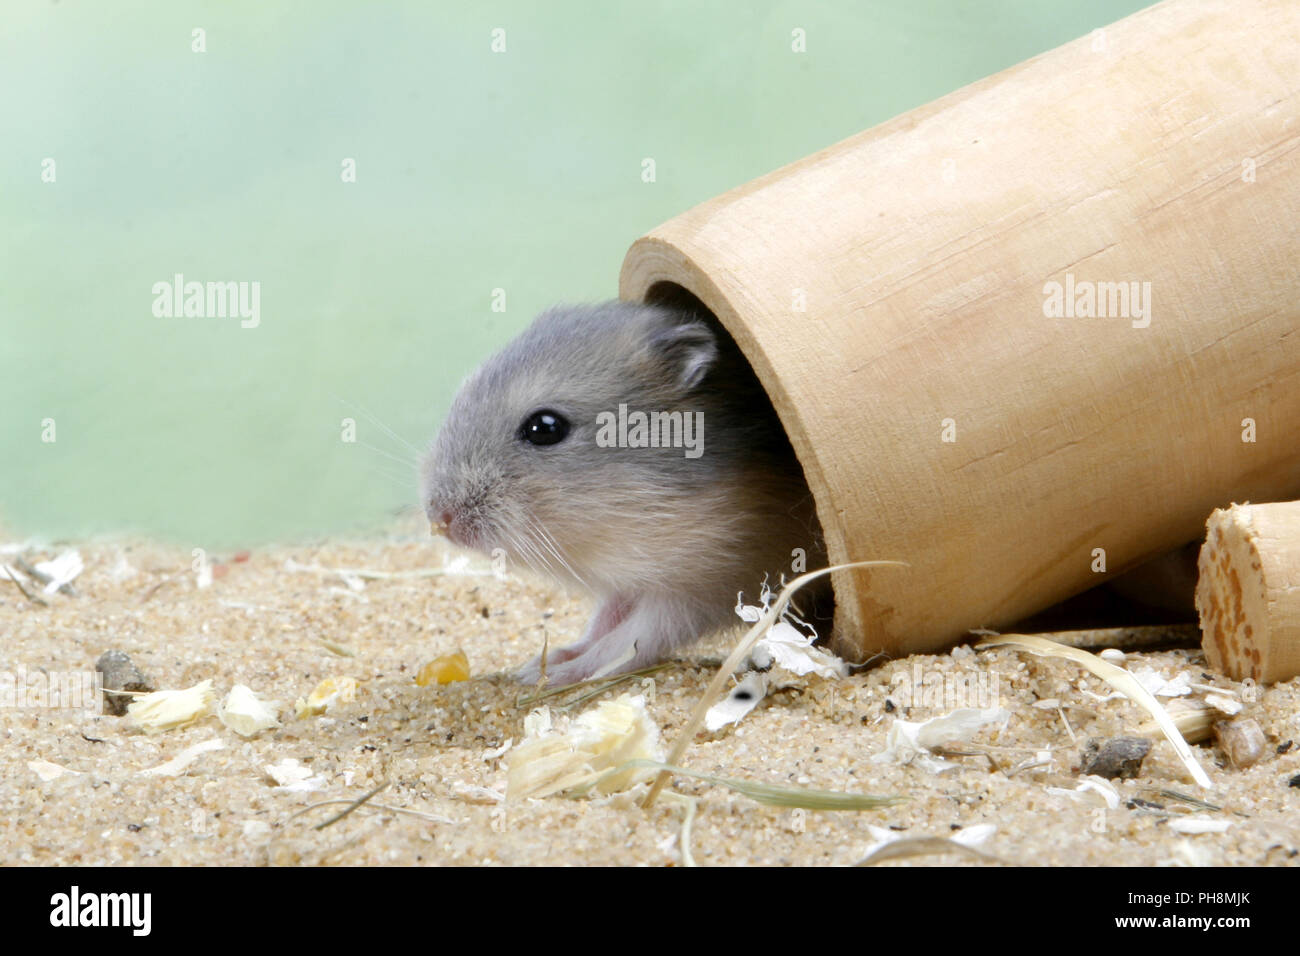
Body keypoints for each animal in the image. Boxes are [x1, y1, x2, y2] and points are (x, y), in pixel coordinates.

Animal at [421, 300, 829, 684]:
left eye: (545, 428)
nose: (439, 519)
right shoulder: (630, 582)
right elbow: (604, 622)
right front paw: (544, 661)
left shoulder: (697, 591)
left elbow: (628, 641)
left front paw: (548, 675)